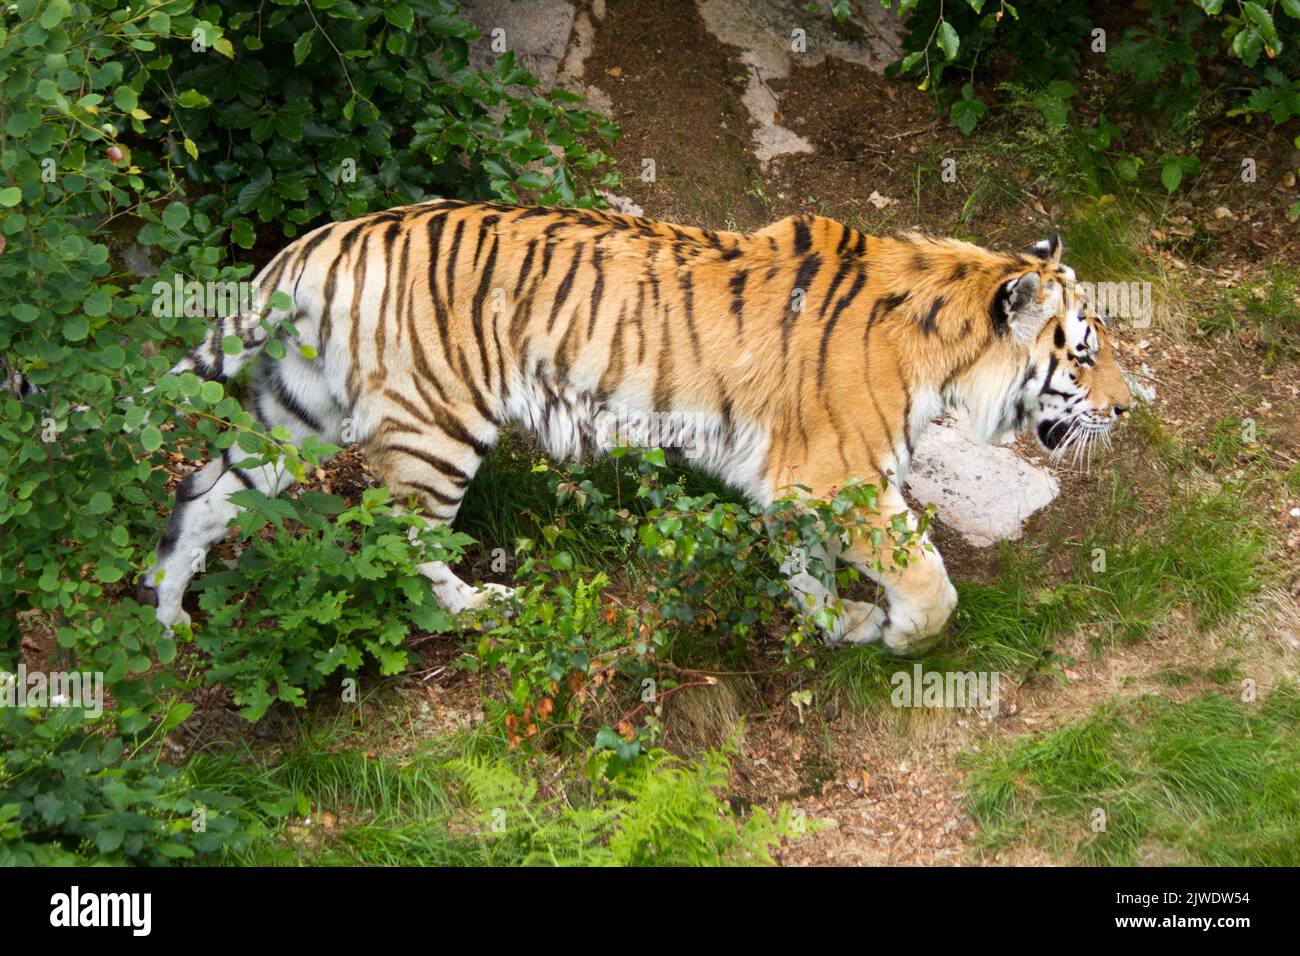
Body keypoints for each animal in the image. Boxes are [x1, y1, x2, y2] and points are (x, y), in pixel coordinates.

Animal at [137, 200, 1131, 654]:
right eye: (1083, 354)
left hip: (295, 412)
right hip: (436, 429)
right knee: (400, 536)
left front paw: (833, 624)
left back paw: (166, 612)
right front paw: (894, 636)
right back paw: (476, 606)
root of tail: (324, 240)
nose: (1128, 408)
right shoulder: (839, 478)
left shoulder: (792, 484)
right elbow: (928, 583)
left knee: (203, 491)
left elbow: (802, 565)